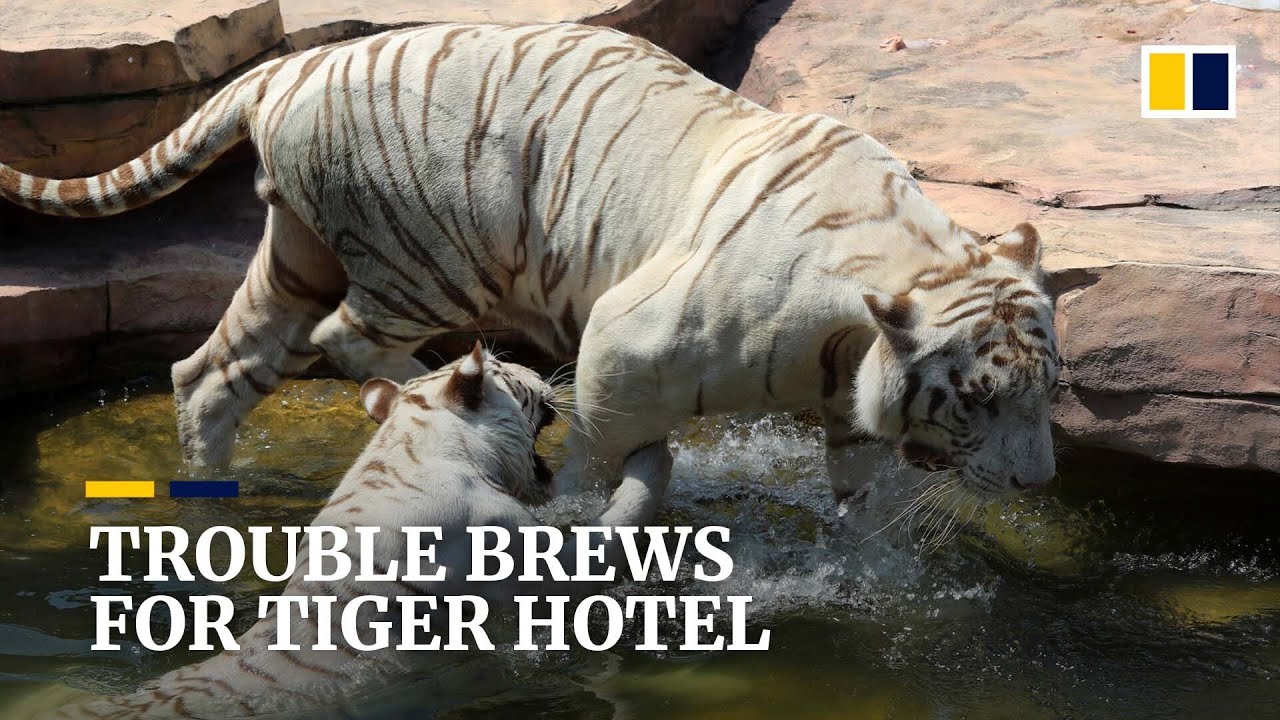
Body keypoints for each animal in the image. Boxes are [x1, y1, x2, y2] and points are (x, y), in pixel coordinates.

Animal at [0, 22, 1059, 511]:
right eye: (981, 402)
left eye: (1047, 397)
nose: (1040, 484)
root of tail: (285, 66)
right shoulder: (628, 344)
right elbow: (601, 454)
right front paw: (578, 495)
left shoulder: (851, 396)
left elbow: (864, 492)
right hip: (428, 251)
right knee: (349, 341)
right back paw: (458, 386)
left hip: (295, 253)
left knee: (211, 369)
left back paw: (207, 484)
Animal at [38, 344, 673, 719]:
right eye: (508, 368)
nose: (543, 371)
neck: (416, 446)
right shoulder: (517, 548)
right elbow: (617, 523)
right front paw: (653, 458)